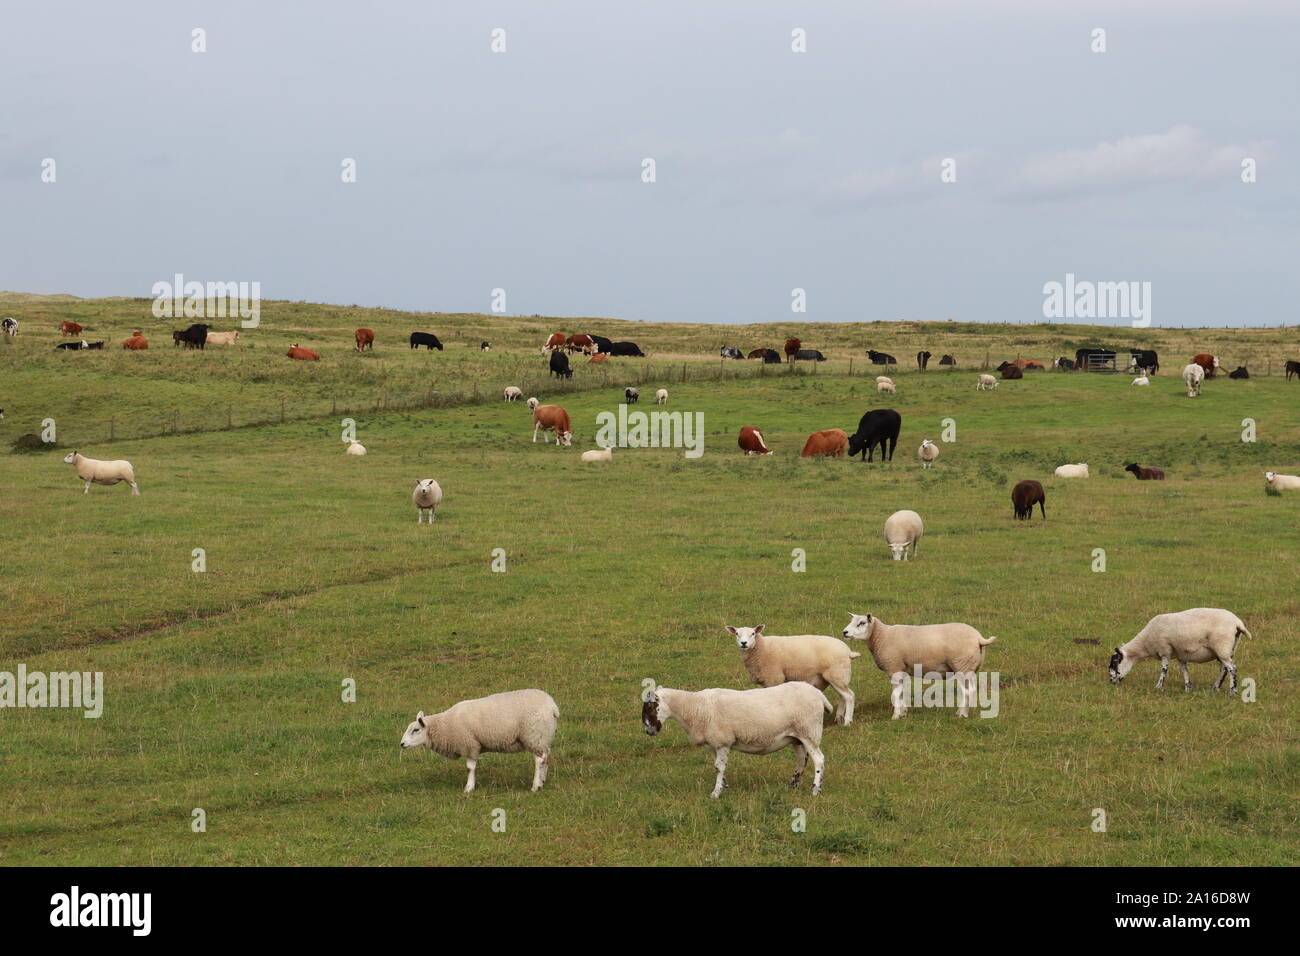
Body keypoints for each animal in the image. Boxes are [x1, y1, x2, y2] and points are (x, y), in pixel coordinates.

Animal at [400, 689, 559, 792]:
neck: (445, 725)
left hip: (533, 736)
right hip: (542, 737)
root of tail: (552, 706)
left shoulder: (470, 744)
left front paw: (469, 788)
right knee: (546, 757)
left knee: (539, 759)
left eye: (415, 730)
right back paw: (542, 781)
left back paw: (535, 786)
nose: (402, 744)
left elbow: (470, 767)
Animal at [642, 682, 831, 797]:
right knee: (801, 760)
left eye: (651, 705)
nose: (648, 731)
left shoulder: (723, 741)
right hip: (797, 736)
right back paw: (793, 785)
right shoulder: (714, 744)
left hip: (809, 731)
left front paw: (716, 793)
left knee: (819, 759)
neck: (694, 707)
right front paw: (724, 786)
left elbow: (718, 767)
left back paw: (816, 789)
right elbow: (718, 767)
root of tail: (818, 694)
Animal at [724, 625, 859, 725]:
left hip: (836, 673)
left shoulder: (774, 677)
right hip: (837, 675)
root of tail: (848, 651)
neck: (762, 648)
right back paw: (839, 718)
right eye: (737, 634)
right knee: (842, 696)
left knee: (849, 696)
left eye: (752, 633)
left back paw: (847, 721)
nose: (744, 643)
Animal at [842, 612, 995, 718]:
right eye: (851, 621)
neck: (881, 636)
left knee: (969, 691)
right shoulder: (901, 669)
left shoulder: (893, 667)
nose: (844, 632)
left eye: (861, 623)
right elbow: (901, 692)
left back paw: (962, 714)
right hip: (971, 667)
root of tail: (979, 638)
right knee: (970, 690)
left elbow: (895, 694)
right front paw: (903, 712)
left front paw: (895, 716)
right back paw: (963, 712)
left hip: (962, 665)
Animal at [1108, 608, 1251, 694]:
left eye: (1115, 663)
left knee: (1232, 668)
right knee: (1224, 668)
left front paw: (1159, 686)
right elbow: (1184, 670)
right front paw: (1188, 687)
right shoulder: (1180, 655)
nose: (1111, 681)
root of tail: (1238, 623)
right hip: (1229, 649)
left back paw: (1232, 691)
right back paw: (1216, 687)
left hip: (1222, 647)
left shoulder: (1165, 650)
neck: (1145, 643)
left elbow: (1164, 670)